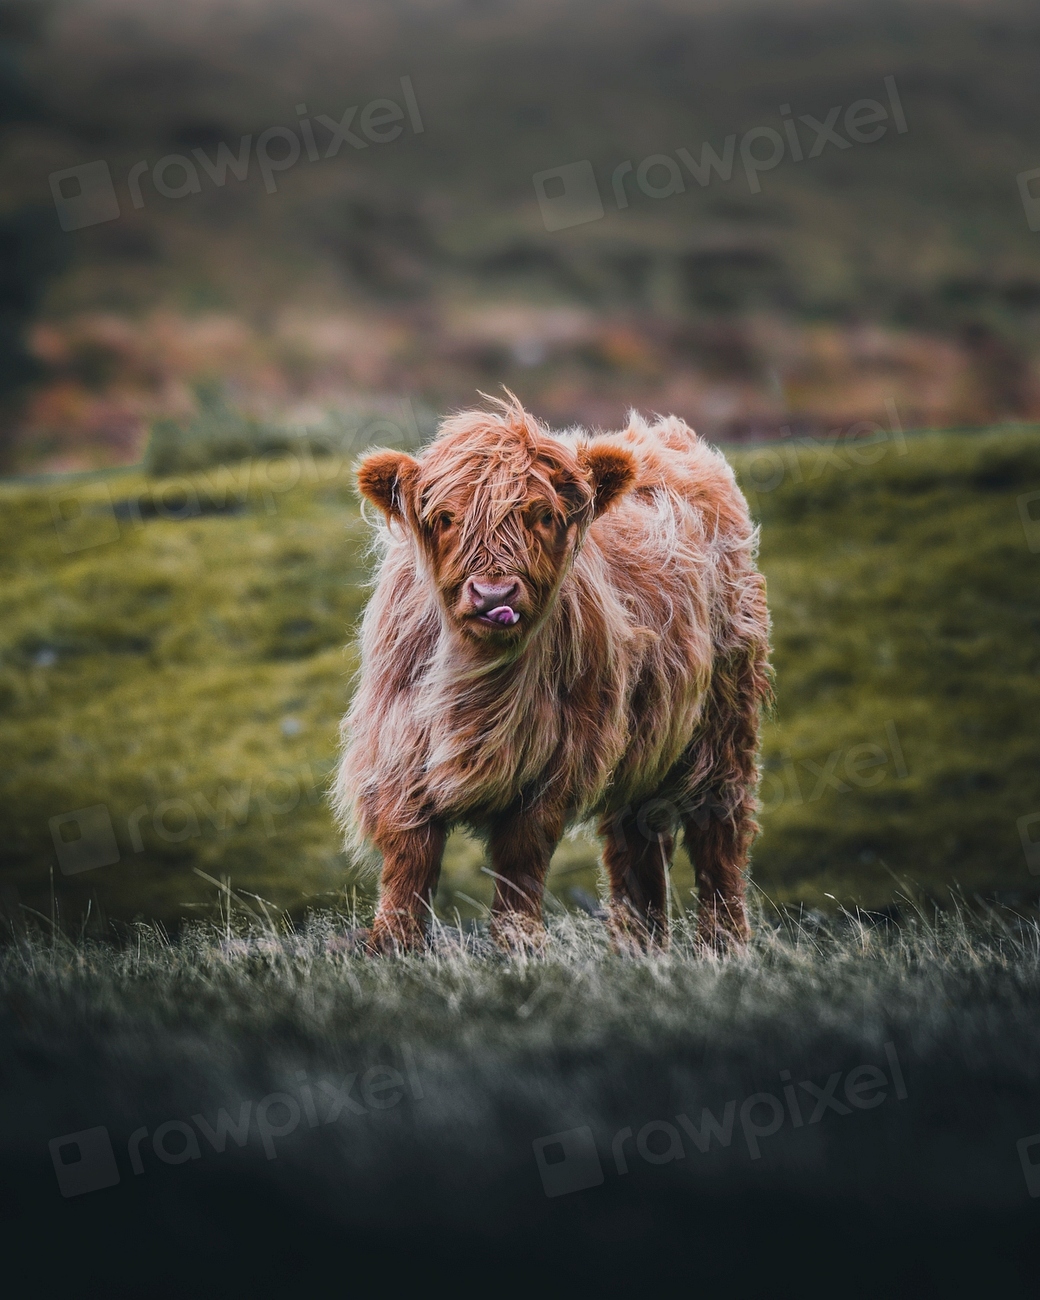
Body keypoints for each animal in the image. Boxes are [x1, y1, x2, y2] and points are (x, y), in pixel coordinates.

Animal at [334, 395, 771, 955]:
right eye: (446, 518)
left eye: (542, 515)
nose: (493, 595)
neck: (478, 684)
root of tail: (667, 437)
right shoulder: (398, 750)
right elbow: (409, 857)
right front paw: (393, 943)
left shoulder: (555, 760)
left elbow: (521, 858)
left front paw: (518, 943)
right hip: (642, 742)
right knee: (636, 839)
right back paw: (639, 946)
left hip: (725, 720)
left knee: (719, 828)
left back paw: (723, 943)